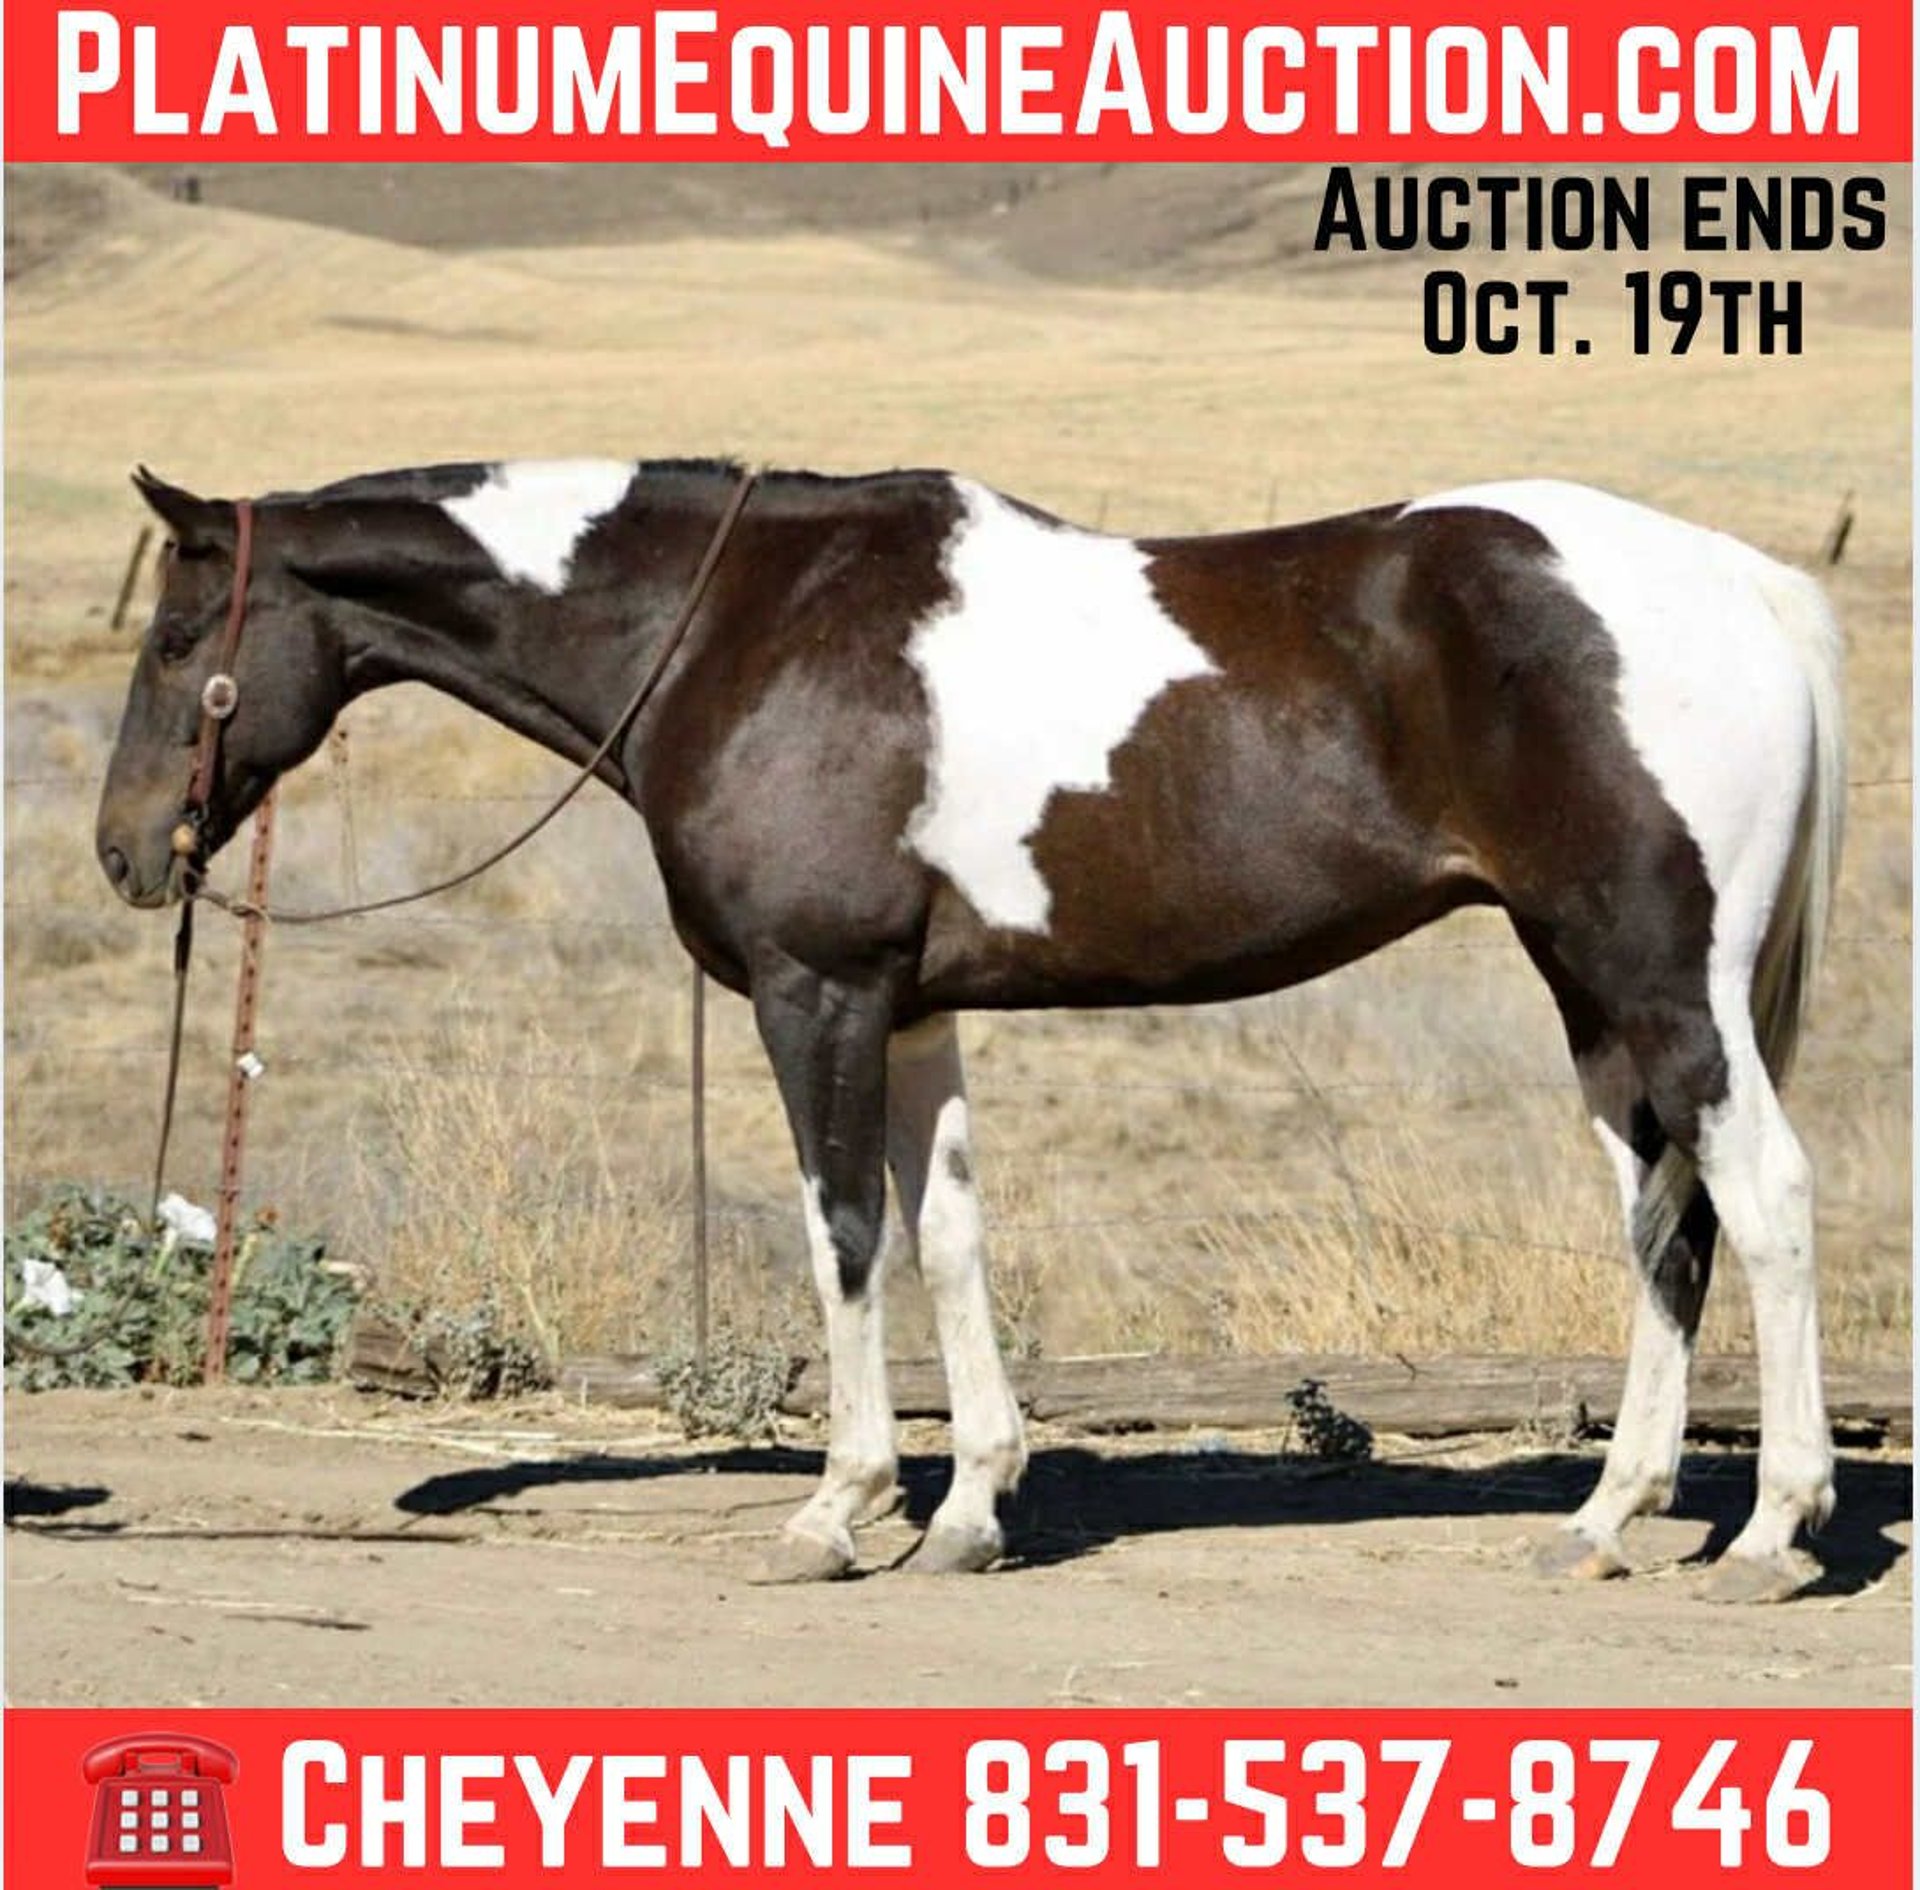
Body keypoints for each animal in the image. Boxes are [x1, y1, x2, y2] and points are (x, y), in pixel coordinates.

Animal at [97, 458, 1846, 1602]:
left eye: (179, 643)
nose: (124, 855)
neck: (732, 622)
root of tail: (1750, 587)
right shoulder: (916, 1008)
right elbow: (947, 1238)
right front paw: (967, 1512)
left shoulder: (817, 992)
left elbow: (844, 1238)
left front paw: (838, 1509)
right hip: (1595, 992)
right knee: (1665, 1227)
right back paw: (1608, 1518)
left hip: (1658, 977)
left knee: (1761, 1200)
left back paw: (1772, 1533)